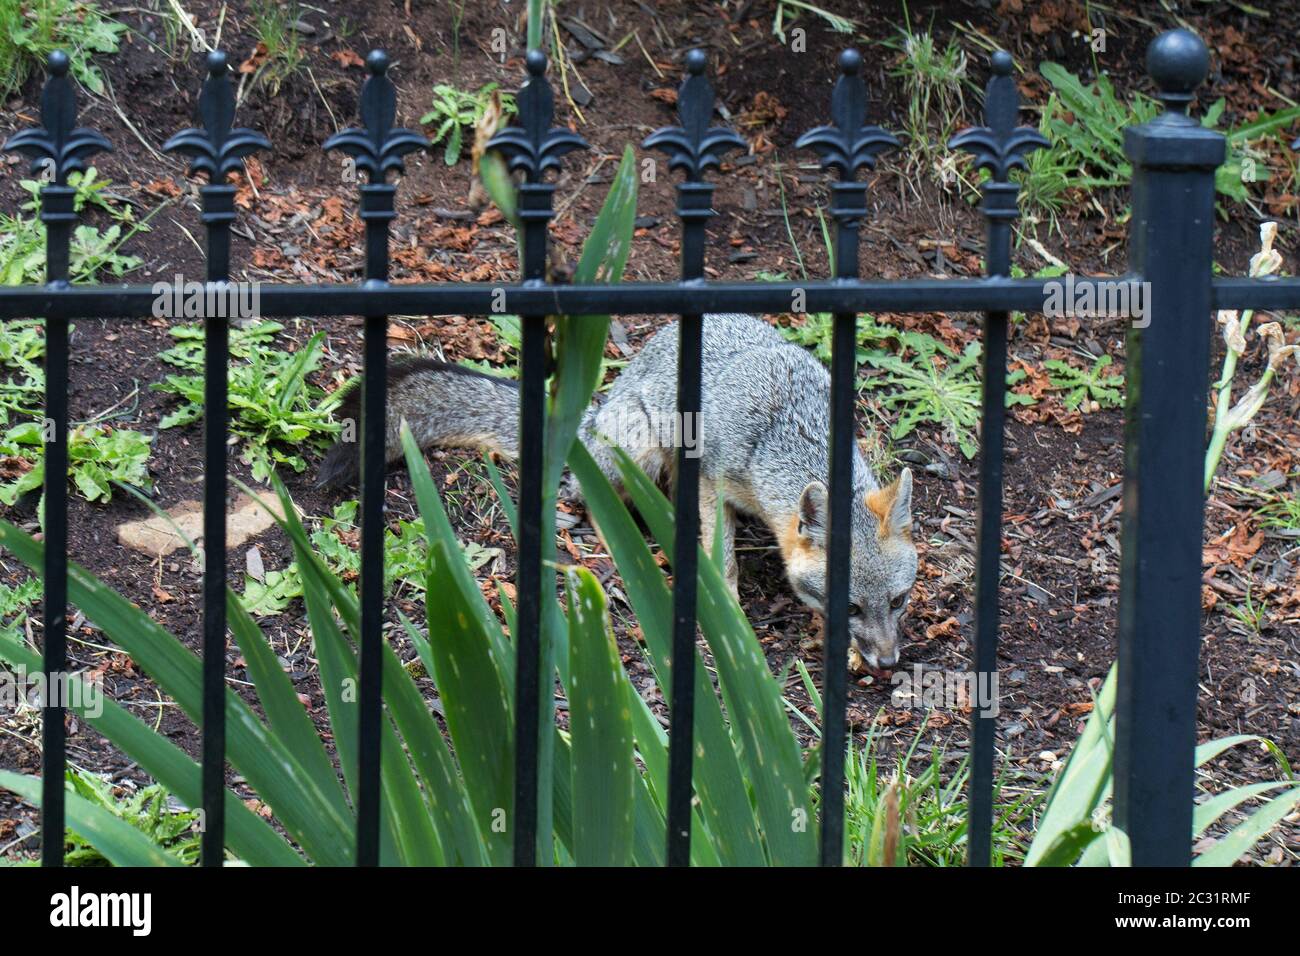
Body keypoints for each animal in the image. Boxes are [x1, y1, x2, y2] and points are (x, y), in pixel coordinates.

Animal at [319, 313, 918, 669]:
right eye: (852, 606)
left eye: (898, 601)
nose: (889, 664)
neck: (786, 432)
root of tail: (598, 408)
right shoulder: (709, 478)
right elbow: (721, 556)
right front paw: (730, 613)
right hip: (642, 448)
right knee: (596, 497)